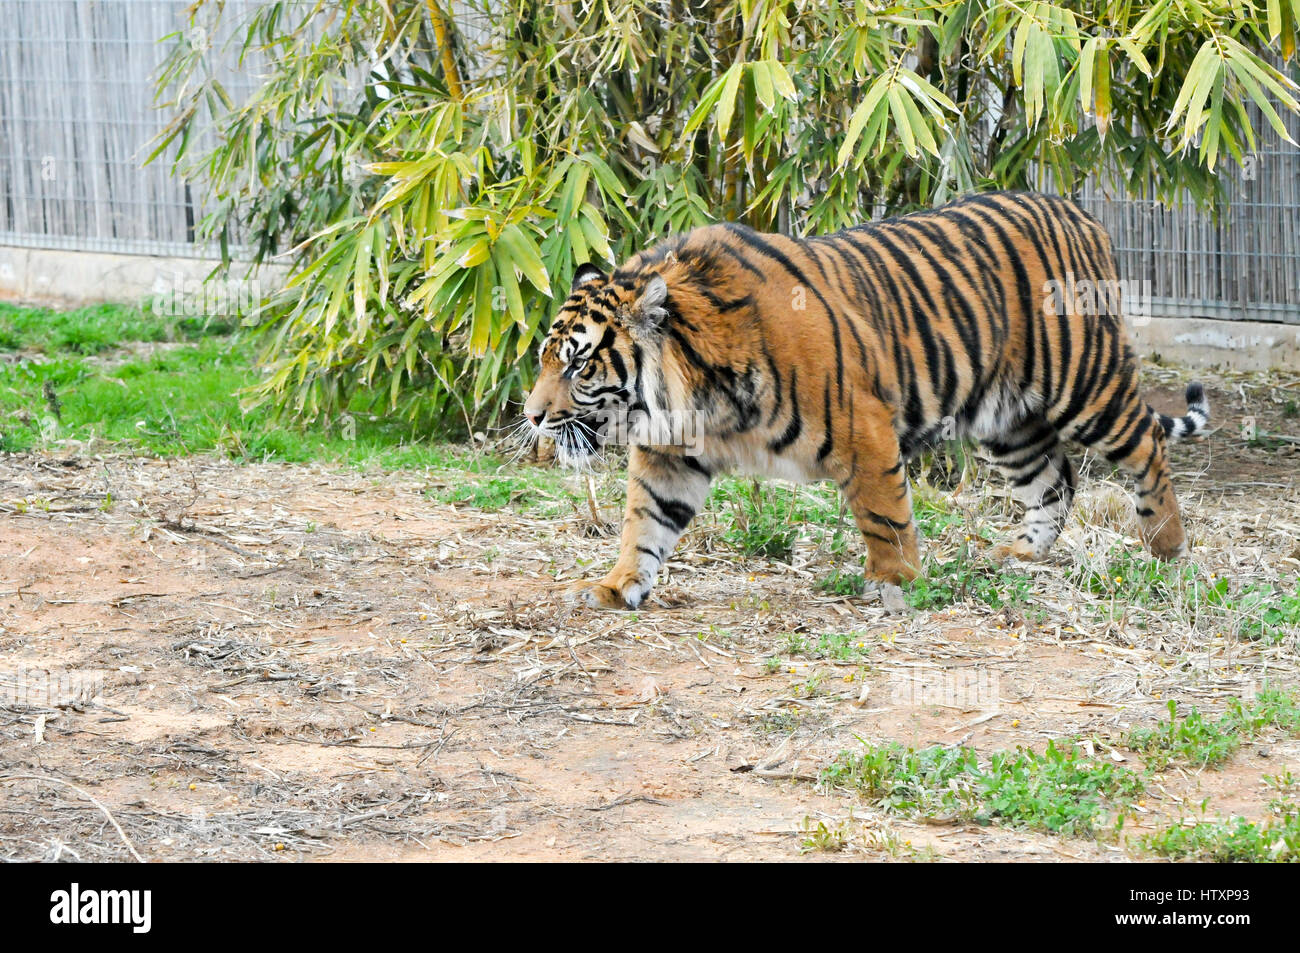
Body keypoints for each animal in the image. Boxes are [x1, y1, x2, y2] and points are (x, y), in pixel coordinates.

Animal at [522, 190, 1210, 610]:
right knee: (1055, 479)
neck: (691, 393)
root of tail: (1083, 214)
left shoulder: (863, 425)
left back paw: (1166, 547)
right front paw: (618, 587)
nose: (532, 416)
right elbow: (645, 522)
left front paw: (896, 583)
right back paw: (1022, 552)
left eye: (579, 364)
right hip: (1009, 417)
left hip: (1084, 383)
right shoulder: (670, 453)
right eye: (544, 360)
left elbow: (885, 512)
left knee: (1147, 444)